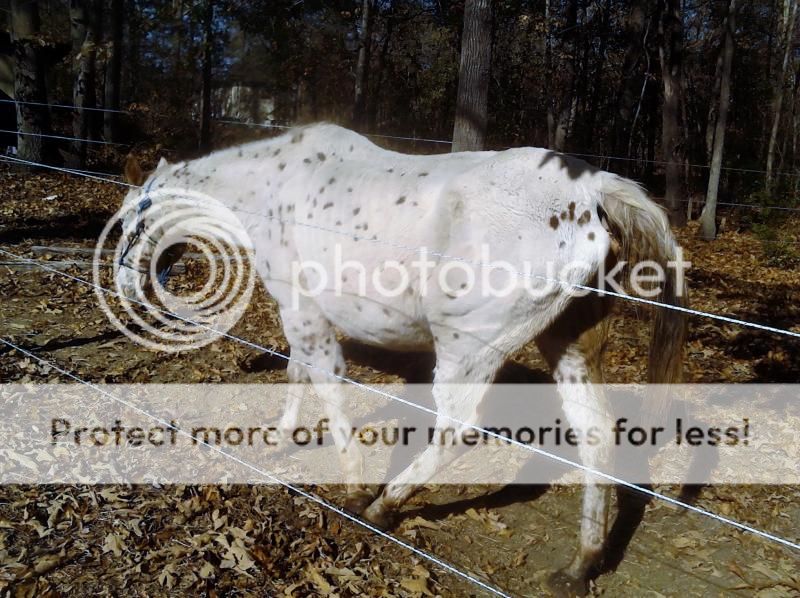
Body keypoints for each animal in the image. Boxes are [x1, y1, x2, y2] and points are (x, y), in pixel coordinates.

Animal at [117, 123, 687, 596]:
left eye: (128, 220)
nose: (124, 287)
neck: (273, 188)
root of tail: (592, 193)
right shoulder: (301, 317)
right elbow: (298, 375)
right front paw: (281, 439)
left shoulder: (304, 314)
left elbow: (327, 385)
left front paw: (353, 486)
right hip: (569, 342)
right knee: (597, 433)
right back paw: (580, 565)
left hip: (467, 348)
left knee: (459, 430)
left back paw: (384, 505)